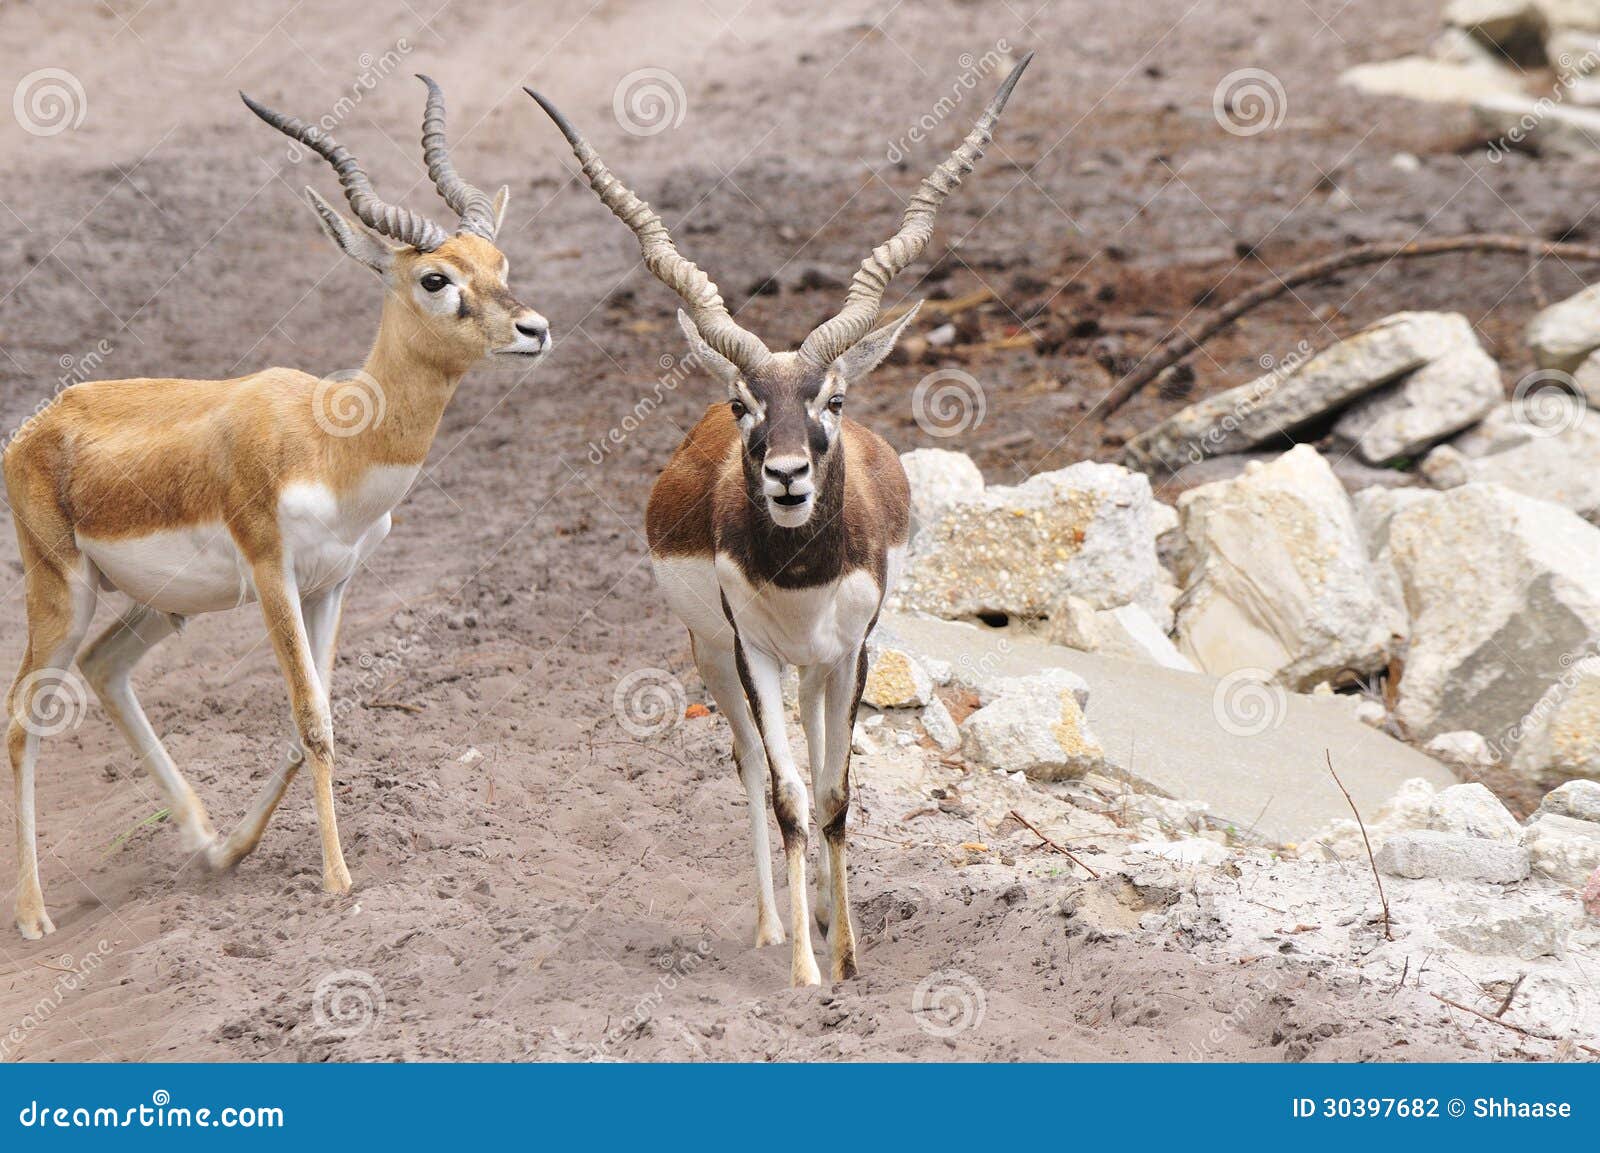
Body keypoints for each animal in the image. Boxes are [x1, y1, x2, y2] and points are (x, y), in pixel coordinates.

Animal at [3, 77, 550, 939]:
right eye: (435, 279)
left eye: (499, 263)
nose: (534, 329)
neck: (334, 437)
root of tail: (40, 423)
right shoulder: (271, 573)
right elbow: (312, 718)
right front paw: (336, 879)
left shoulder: (333, 583)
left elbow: (310, 723)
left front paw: (246, 850)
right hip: (63, 591)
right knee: (24, 717)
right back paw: (32, 917)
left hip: (161, 604)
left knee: (104, 666)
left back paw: (206, 843)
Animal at [529, 53, 1030, 985]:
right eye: (743, 403)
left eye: (834, 398)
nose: (788, 475)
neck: (800, 574)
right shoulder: (752, 649)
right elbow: (790, 795)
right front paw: (803, 965)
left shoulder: (852, 651)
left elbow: (835, 795)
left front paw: (848, 953)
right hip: (714, 656)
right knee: (752, 765)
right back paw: (771, 924)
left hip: (816, 667)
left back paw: (830, 914)